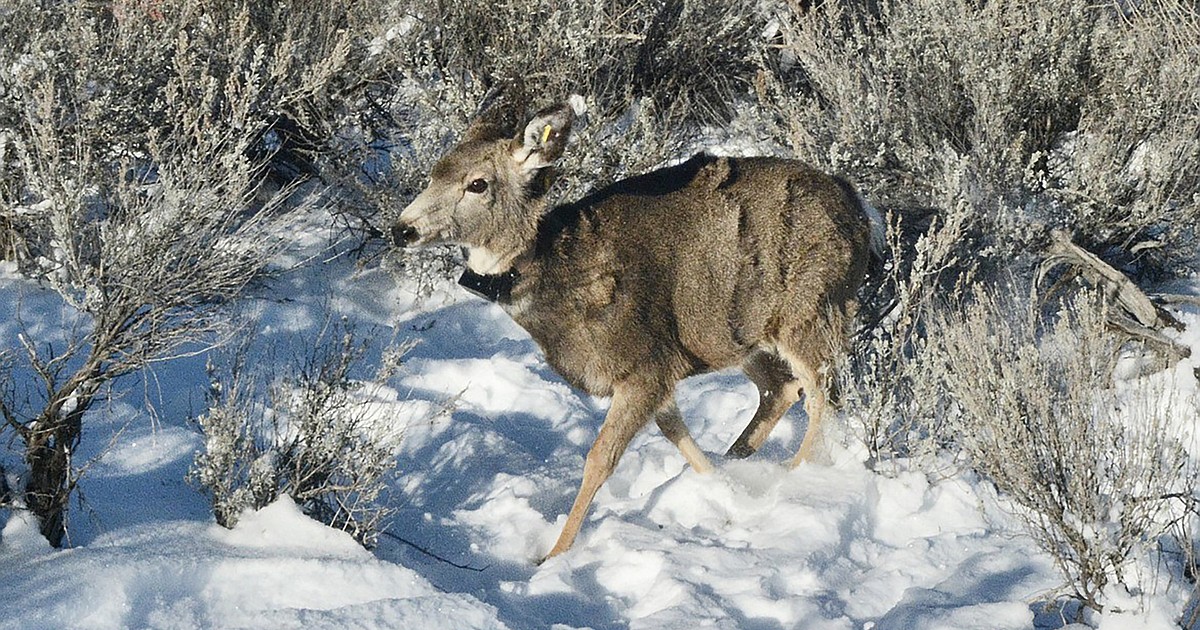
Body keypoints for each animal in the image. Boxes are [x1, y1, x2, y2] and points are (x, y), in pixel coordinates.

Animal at [391, 99, 883, 561]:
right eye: (434, 172)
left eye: (478, 183)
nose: (402, 229)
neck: (555, 276)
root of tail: (859, 210)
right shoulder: (662, 369)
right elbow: (675, 432)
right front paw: (719, 489)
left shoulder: (642, 362)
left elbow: (600, 458)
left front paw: (553, 555)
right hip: (736, 331)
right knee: (781, 388)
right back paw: (744, 464)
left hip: (813, 310)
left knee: (824, 397)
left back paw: (795, 481)